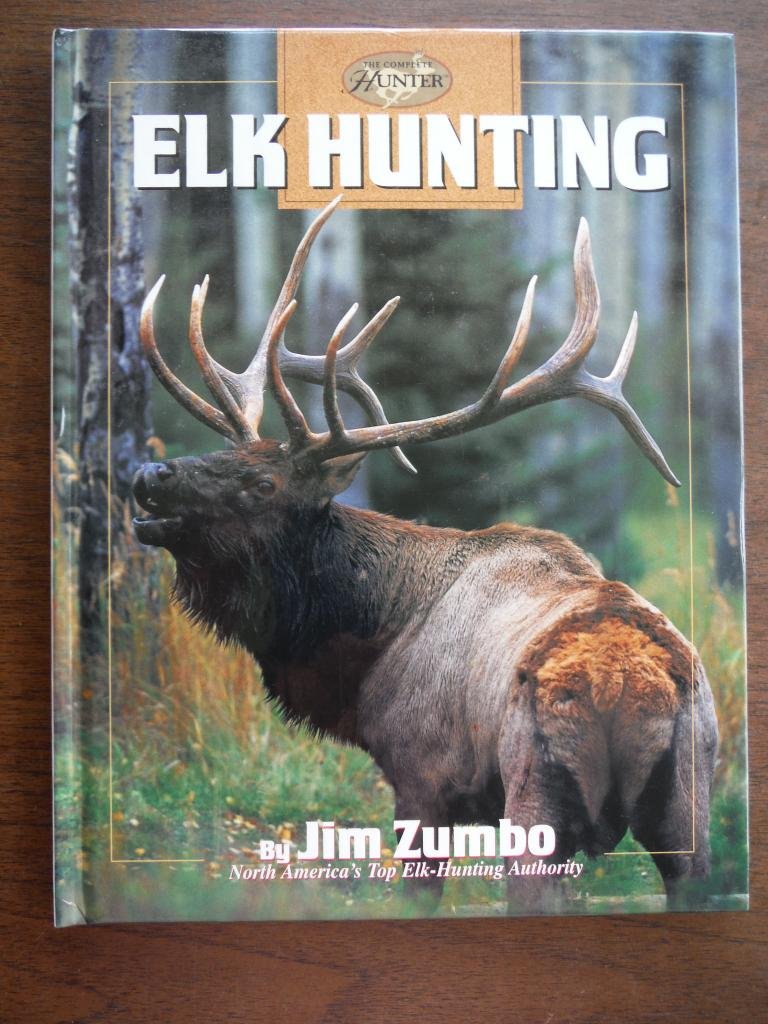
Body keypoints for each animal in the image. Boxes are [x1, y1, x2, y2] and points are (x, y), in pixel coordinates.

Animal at [132, 196, 718, 914]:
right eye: (223, 454)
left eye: (262, 483)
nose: (150, 474)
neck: (368, 646)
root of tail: (627, 683)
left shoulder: (420, 776)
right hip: (690, 801)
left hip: (536, 796)